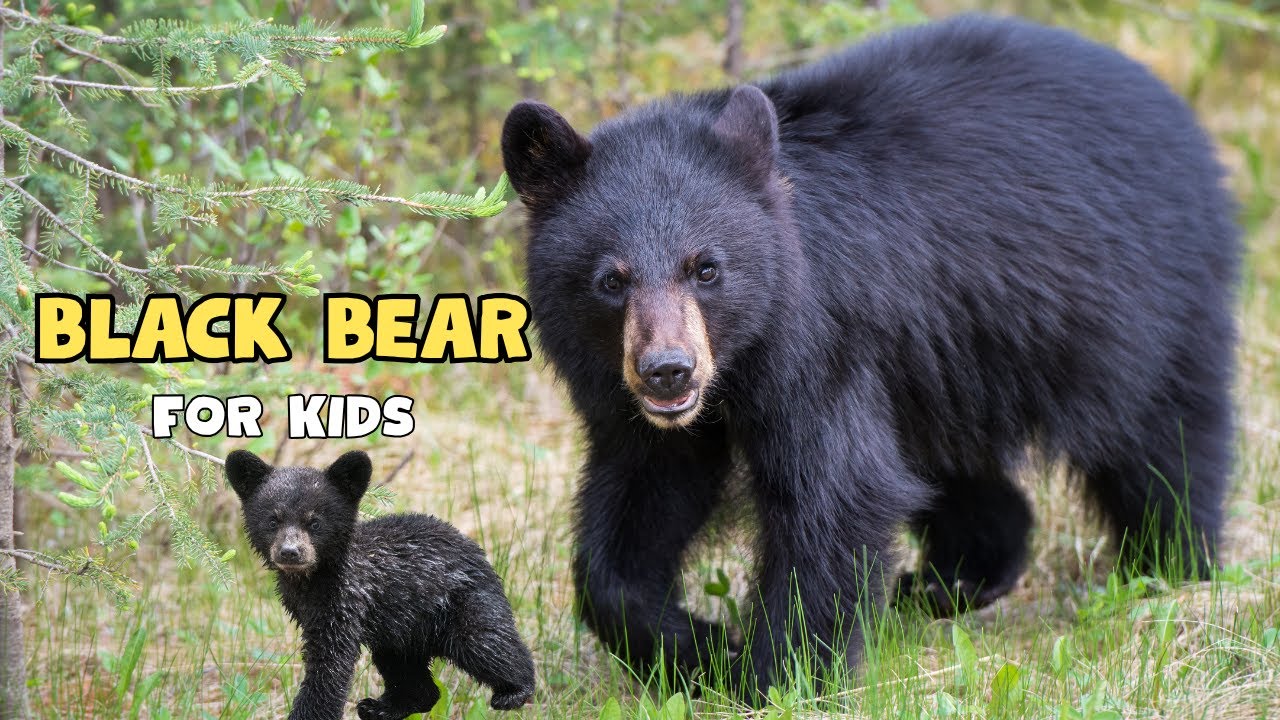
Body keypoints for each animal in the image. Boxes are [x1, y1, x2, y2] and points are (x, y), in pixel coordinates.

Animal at [224, 450, 536, 720]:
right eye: (272, 520)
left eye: (314, 521)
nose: (290, 552)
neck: (313, 582)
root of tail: (477, 550)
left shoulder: (345, 603)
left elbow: (329, 669)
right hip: (401, 631)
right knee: (409, 673)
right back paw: (381, 708)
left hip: (462, 601)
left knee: (485, 641)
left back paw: (516, 690)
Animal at [500, 14, 1239, 699]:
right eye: (611, 279)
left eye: (706, 268)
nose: (668, 371)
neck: (739, 364)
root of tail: (1176, 109)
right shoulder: (636, 407)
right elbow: (639, 505)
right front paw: (693, 647)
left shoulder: (822, 346)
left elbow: (835, 494)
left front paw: (777, 675)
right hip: (948, 360)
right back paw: (956, 578)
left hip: (1141, 306)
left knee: (1164, 436)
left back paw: (1170, 563)